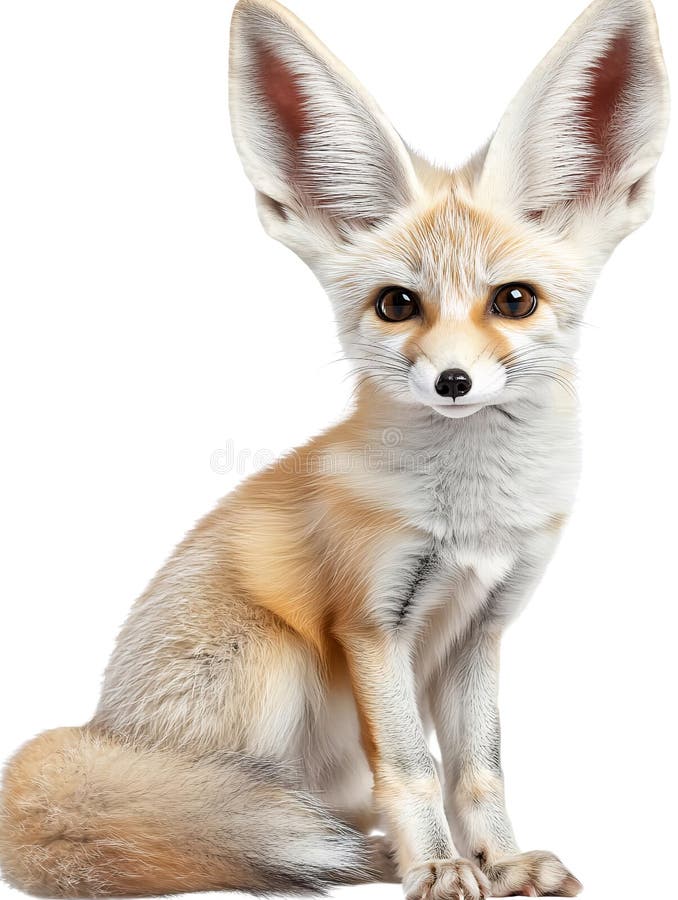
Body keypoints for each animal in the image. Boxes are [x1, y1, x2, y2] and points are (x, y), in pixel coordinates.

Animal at [0, 0, 669, 898]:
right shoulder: (371, 621)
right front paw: (441, 867)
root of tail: (100, 729)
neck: (472, 517)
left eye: (513, 301)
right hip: (274, 664)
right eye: (397, 305)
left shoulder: (481, 629)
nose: (453, 381)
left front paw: (500, 861)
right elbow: (415, 770)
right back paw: (334, 856)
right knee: (217, 823)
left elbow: (477, 771)